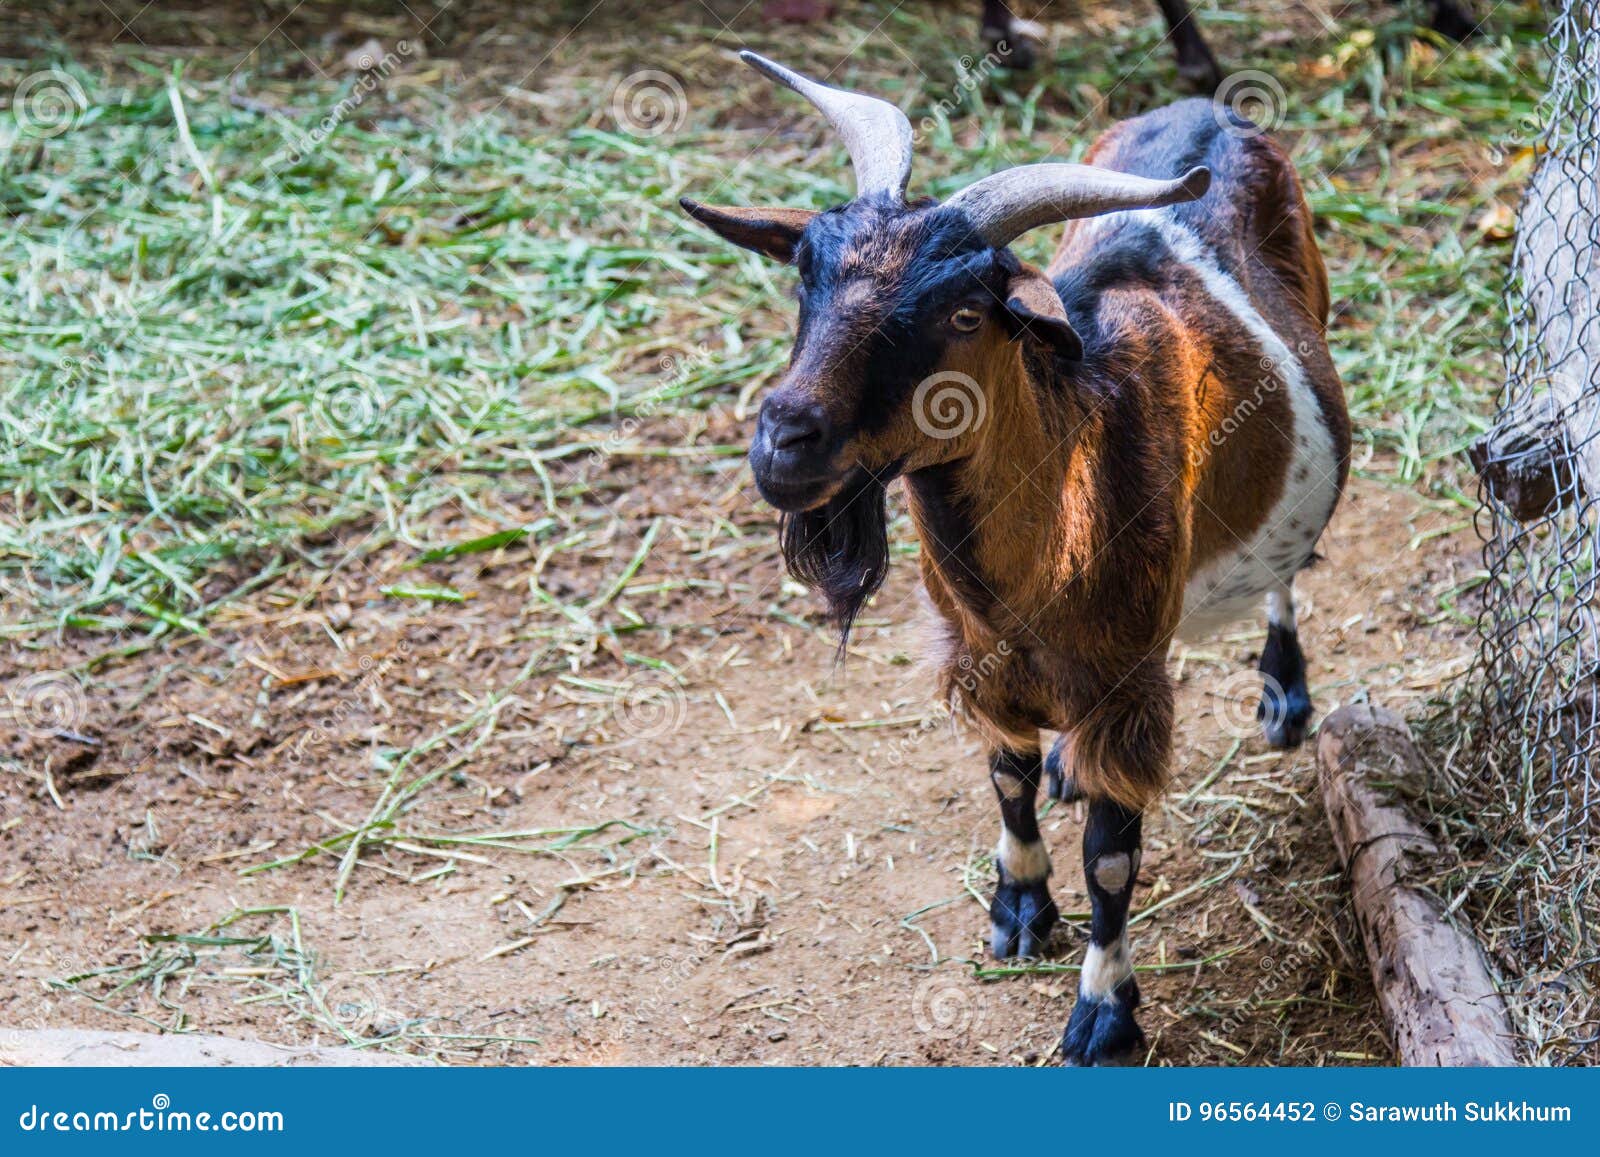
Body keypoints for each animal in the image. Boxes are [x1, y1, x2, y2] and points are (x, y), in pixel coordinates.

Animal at [681, 52, 1349, 1064]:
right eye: (804, 277)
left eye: (966, 312)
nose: (785, 441)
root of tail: (1211, 108)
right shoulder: (979, 656)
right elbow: (1007, 780)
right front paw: (1021, 908)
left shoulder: (1126, 685)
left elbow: (1111, 857)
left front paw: (1104, 1013)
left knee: (1283, 572)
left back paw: (1284, 695)